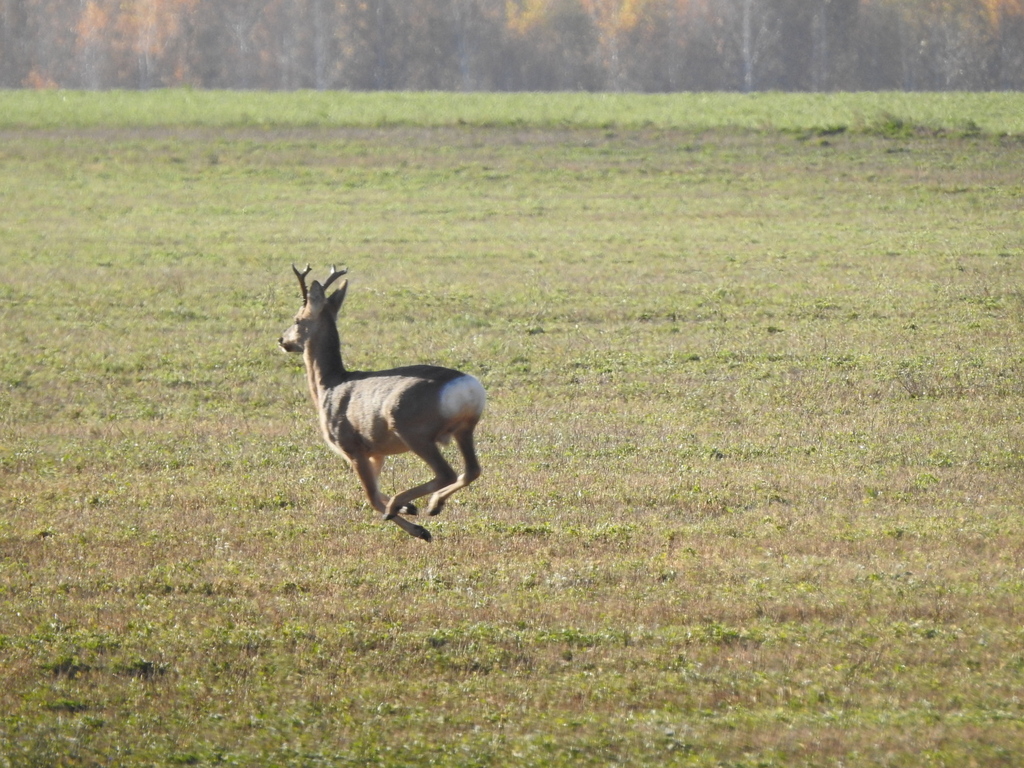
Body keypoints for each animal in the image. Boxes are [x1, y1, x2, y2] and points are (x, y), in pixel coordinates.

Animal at [278, 265, 485, 542]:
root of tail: (466, 389)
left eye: (297, 319)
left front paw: (415, 525)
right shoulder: (376, 452)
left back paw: (405, 508)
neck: (328, 386)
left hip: (413, 430)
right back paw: (431, 505)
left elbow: (371, 497)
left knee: (446, 472)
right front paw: (410, 508)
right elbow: (375, 492)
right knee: (472, 469)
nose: (282, 341)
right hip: (464, 429)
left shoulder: (352, 446)